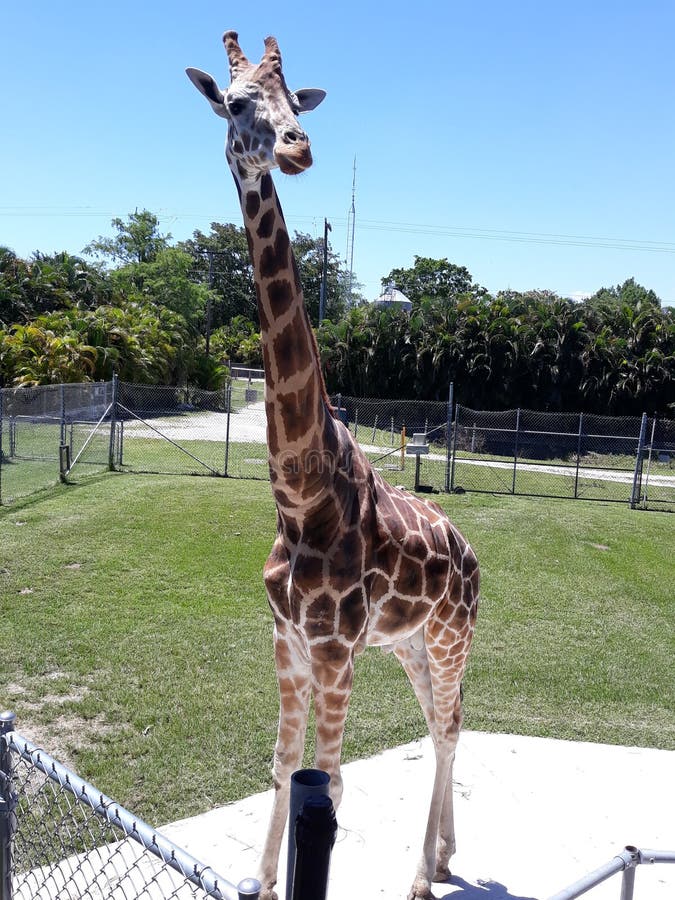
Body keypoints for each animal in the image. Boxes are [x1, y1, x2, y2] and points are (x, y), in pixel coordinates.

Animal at [186, 31, 479, 900]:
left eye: (296, 100)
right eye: (236, 103)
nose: (297, 147)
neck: (297, 495)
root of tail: (473, 556)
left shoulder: (333, 648)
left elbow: (330, 781)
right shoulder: (285, 638)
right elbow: (281, 765)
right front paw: (257, 881)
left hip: (450, 635)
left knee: (448, 726)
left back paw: (421, 876)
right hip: (411, 643)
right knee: (440, 722)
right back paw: (443, 853)